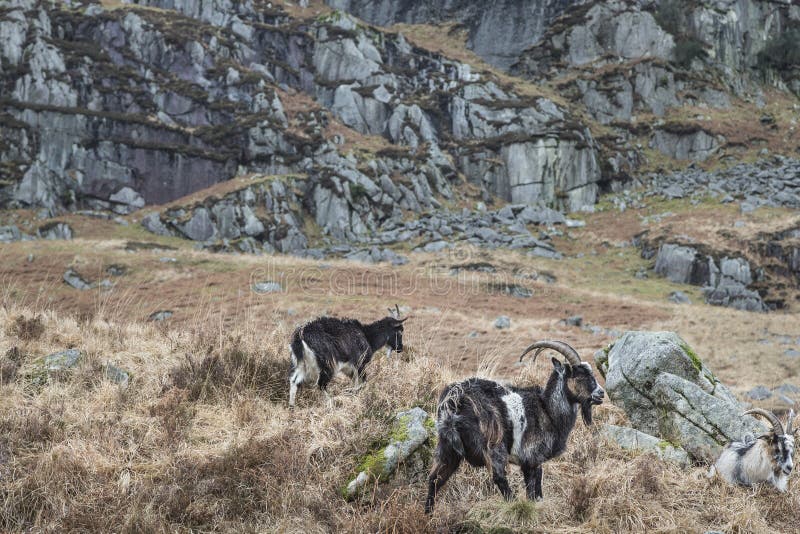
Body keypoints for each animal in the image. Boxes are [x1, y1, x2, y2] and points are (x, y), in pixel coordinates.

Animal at [424, 340, 604, 513]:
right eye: (579, 376)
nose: (601, 393)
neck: (547, 410)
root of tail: (454, 398)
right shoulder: (531, 456)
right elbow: (533, 488)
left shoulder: (533, 460)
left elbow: (536, 486)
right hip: (494, 444)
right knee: (499, 477)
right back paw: (512, 504)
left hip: (447, 446)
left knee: (434, 478)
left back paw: (428, 515)